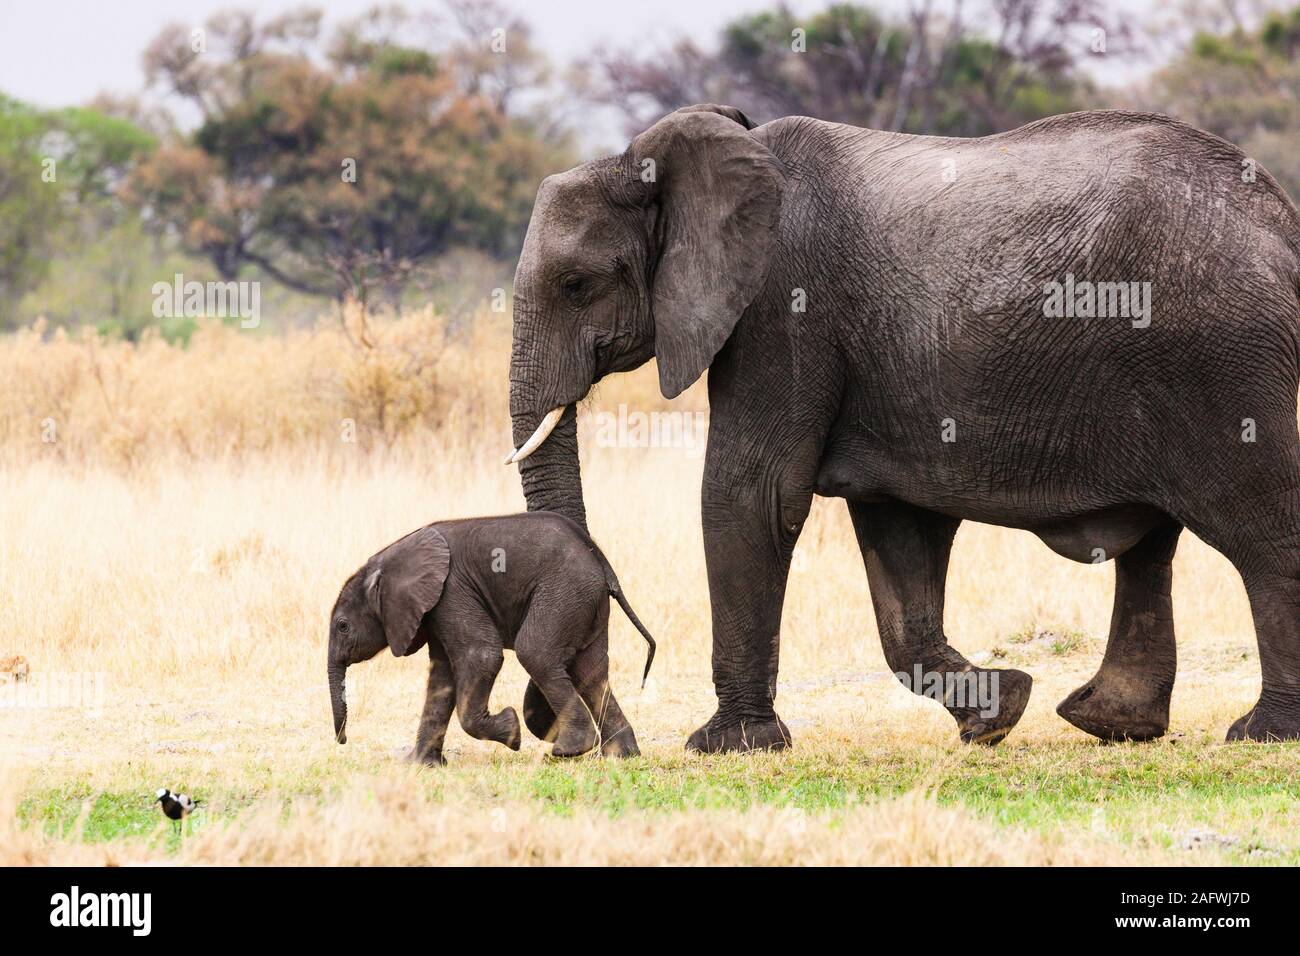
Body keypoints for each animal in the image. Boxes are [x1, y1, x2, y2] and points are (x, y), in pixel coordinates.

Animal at [327, 513, 655, 763]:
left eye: (342, 626)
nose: (343, 741)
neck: (388, 560)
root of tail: (602, 563)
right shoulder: (434, 609)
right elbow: (441, 677)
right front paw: (418, 765)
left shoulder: (451, 592)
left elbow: (481, 655)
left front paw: (512, 732)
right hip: (585, 603)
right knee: (591, 672)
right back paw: (620, 755)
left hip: (565, 593)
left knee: (535, 652)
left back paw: (568, 751)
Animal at [506, 104, 1300, 750]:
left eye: (575, 284)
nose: (556, 730)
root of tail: (1283, 223)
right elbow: (898, 535)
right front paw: (997, 713)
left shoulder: (782, 304)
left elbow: (753, 494)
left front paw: (727, 746)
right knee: (1153, 546)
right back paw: (1111, 724)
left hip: (1223, 364)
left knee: (1262, 533)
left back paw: (1262, 733)